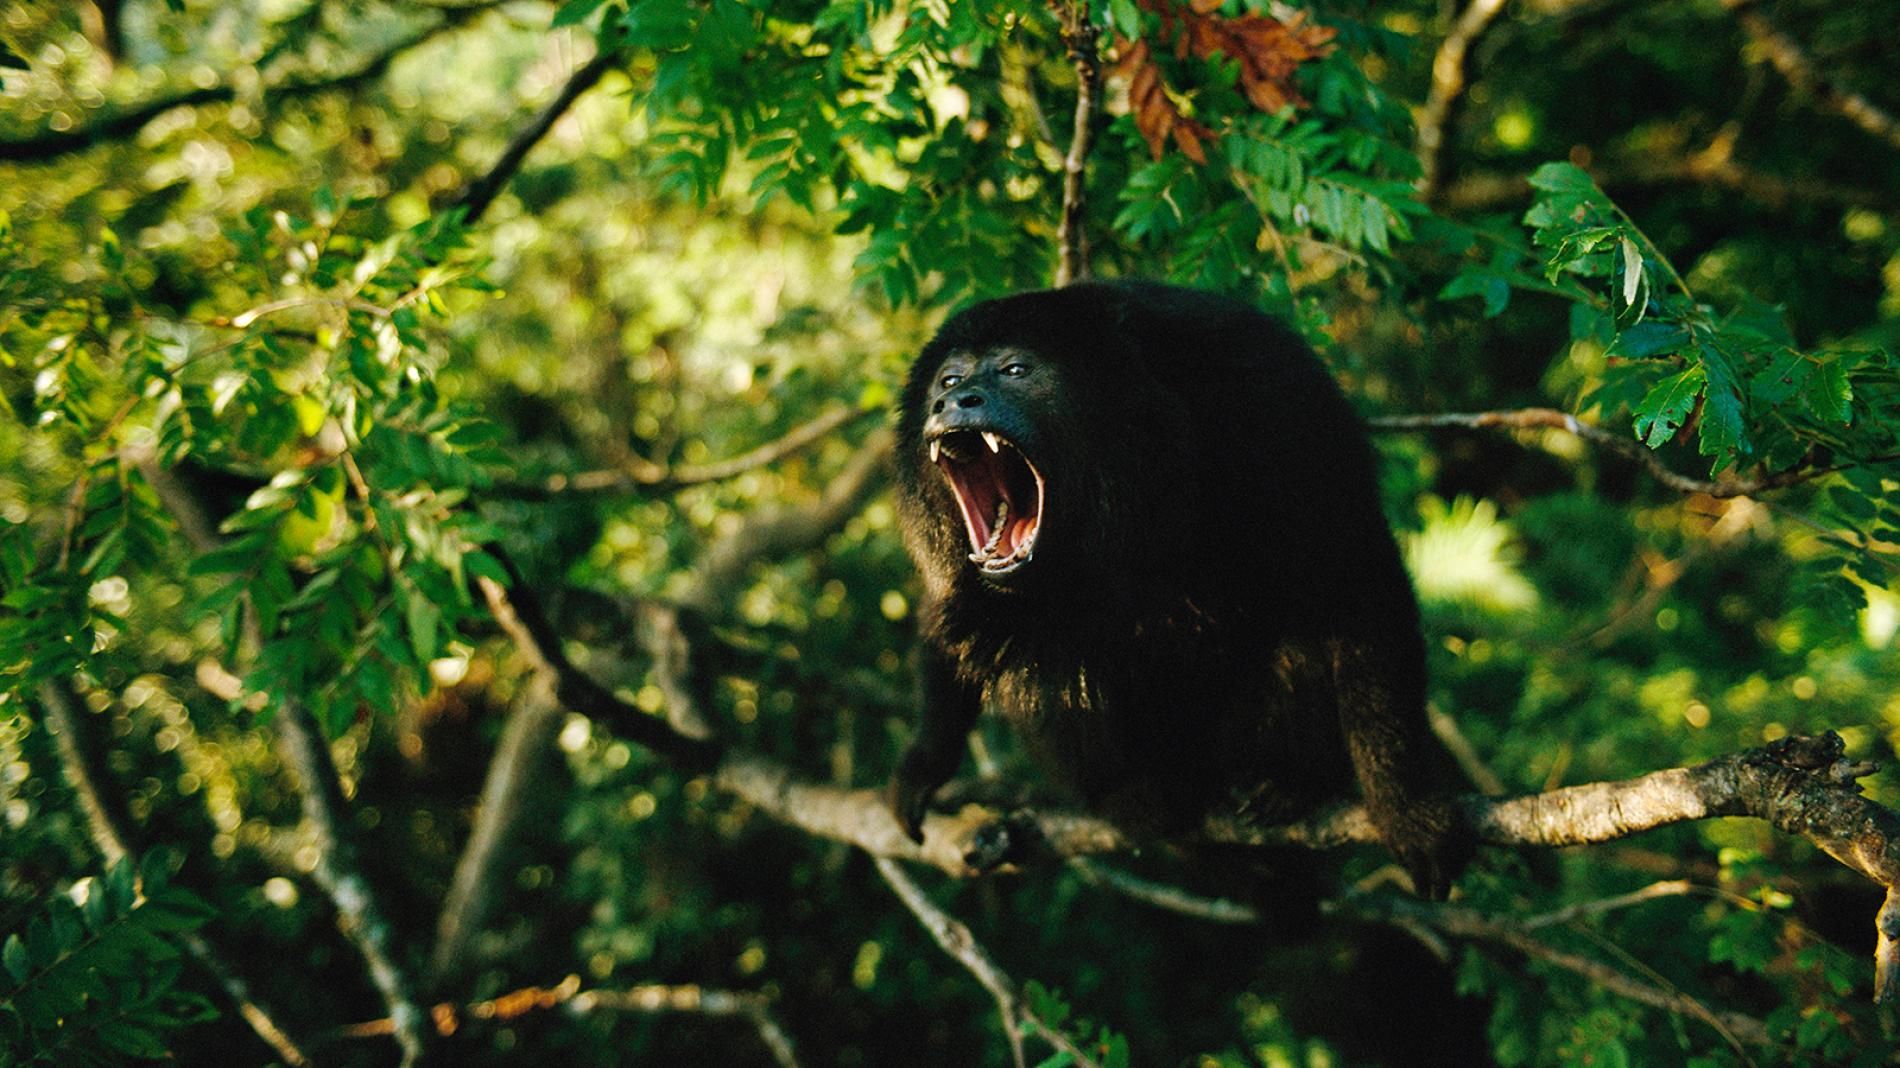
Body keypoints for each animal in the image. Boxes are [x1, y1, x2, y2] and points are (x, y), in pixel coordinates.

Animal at [884, 280, 1470, 897]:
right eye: (948, 381)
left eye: (1015, 369)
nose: (952, 403)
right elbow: (946, 611)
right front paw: (925, 762)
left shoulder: (1272, 408)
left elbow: (1356, 576)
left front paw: (1409, 810)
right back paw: (1130, 797)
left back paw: (1291, 783)